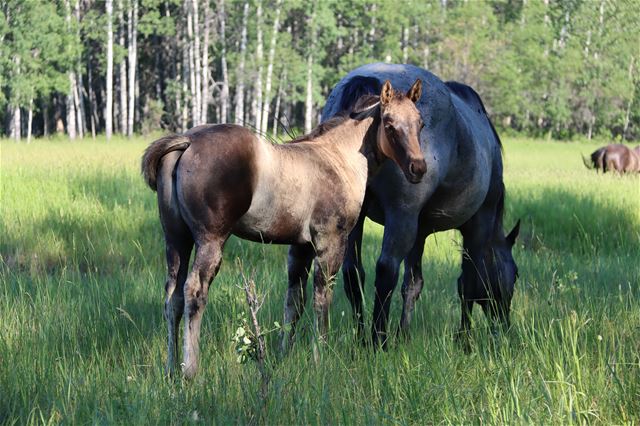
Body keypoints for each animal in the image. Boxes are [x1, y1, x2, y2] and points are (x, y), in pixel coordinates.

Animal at [141, 79, 426, 377]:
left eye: (420, 123)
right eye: (390, 124)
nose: (418, 168)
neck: (338, 159)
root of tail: (188, 140)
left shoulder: (301, 247)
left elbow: (294, 301)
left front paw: (282, 357)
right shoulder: (330, 243)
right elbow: (322, 300)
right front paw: (320, 358)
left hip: (176, 240)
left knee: (172, 297)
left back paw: (171, 369)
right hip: (211, 240)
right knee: (194, 292)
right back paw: (190, 371)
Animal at [321, 63, 520, 348]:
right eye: (515, 274)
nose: (505, 324)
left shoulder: (420, 231)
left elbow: (413, 284)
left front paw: (404, 335)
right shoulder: (478, 225)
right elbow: (468, 283)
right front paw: (464, 340)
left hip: (360, 220)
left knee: (353, 273)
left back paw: (361, 338)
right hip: (401, 217)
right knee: (386, 270)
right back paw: (377, 340)